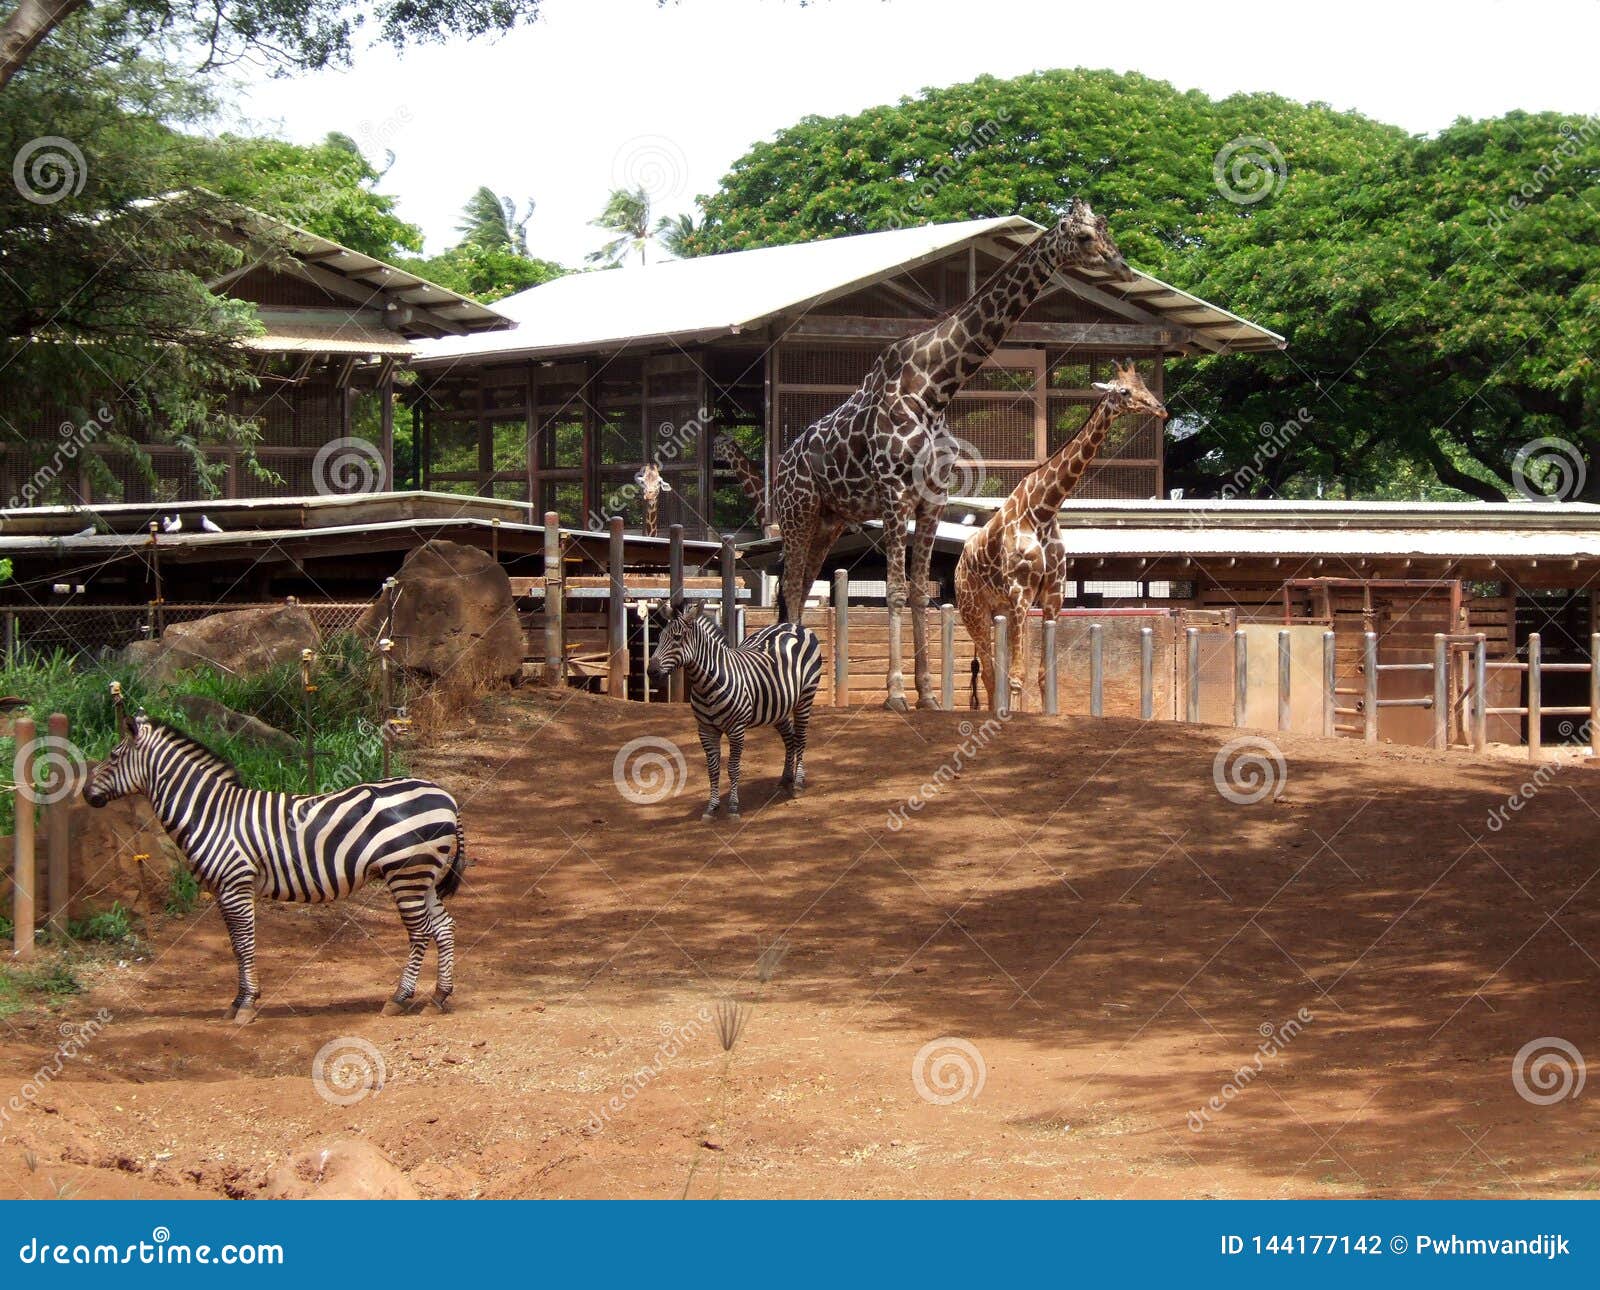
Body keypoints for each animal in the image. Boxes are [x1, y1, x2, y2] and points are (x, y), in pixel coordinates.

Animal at [83, 694, 467, 1024]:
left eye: (113, 756)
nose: (86, 794)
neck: (211, 814)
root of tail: (445, 795)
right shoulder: (224, 890)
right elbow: (236, 946)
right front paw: (239, 1000)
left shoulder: (235, 884)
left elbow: (244, 943)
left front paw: (246, 1004)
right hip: (423, 876)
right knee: (444, 927)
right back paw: (439, 996)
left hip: (407, 873)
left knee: (420, 932)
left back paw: (399, 998)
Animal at [648, 599, 822, 820]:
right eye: (659, 637)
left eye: (677, 638)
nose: (650, 671)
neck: (706, 685)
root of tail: (792, 625)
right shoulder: (706, 730)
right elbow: (713, 769)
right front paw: (711, 808)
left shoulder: (736, 729)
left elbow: (732, 767)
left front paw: (732, 807)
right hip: (778, 705)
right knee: (789, 738)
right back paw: (786, 779)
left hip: (805, 697)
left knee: (800, 738)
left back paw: (798, 783)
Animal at [772, 200, 1131, 711]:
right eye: (1083, 237)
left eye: (1104, 229)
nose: (1121, 266)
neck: (934, 390)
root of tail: (783, 464)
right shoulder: (894, 495)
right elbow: (895, 591)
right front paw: (896, 695)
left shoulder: (932, 500)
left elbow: (921, 593)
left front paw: (926, 695)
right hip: (797, 512)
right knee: (790, 584)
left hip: (828, 520)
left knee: (801, 585)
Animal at [955, 360, 1168, 711]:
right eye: (1124, 391)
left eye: (1145, 386)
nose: (1160, 409)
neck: (1043, 510)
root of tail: (959, 564)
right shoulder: (1021, 593)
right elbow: (1018, 676)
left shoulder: (1053, 596)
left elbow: (1044, 674)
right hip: (973, 609)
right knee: (987, 671)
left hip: (998, 609)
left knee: (994, 670)